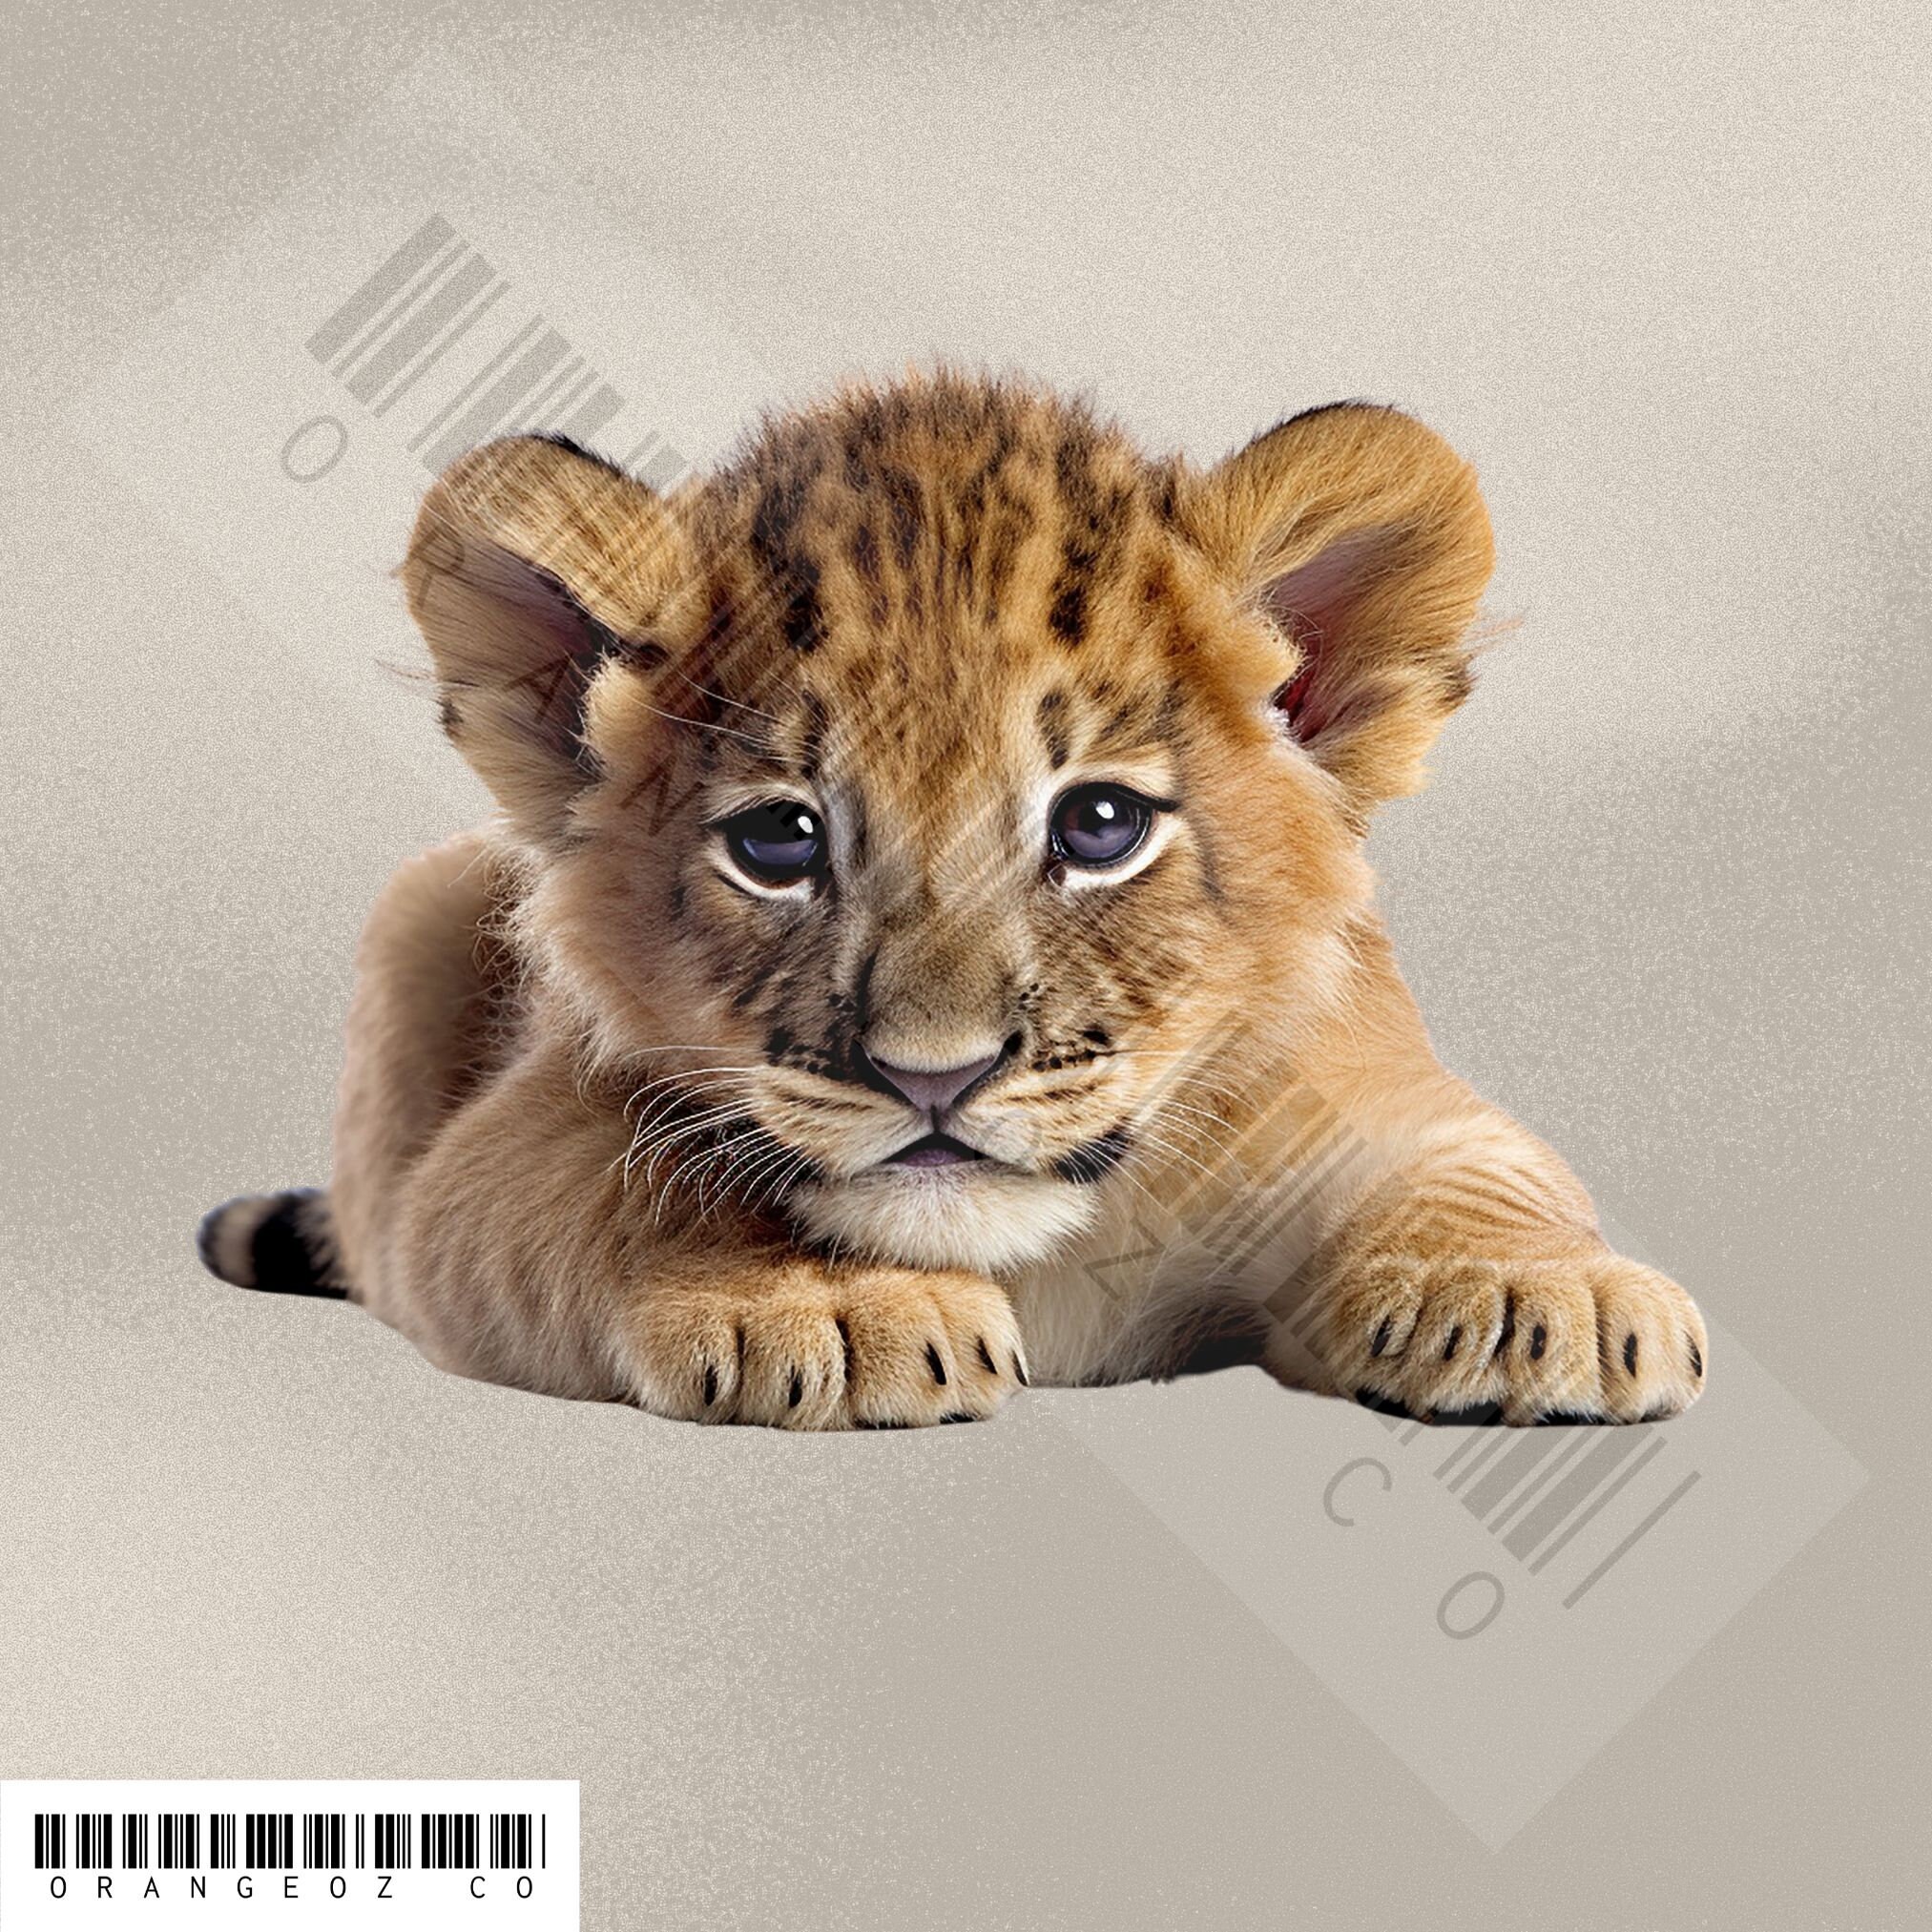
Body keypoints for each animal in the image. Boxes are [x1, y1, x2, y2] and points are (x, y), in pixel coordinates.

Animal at [197, 370, 1706, 1429]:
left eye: (1098, 825)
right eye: (782, 841)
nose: (936, 1078)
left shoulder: (1369, 1095)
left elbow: (1485, 1174)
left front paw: (1533, 1296)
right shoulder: (491, 1162)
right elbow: (639, 1191)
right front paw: (826, 1304)